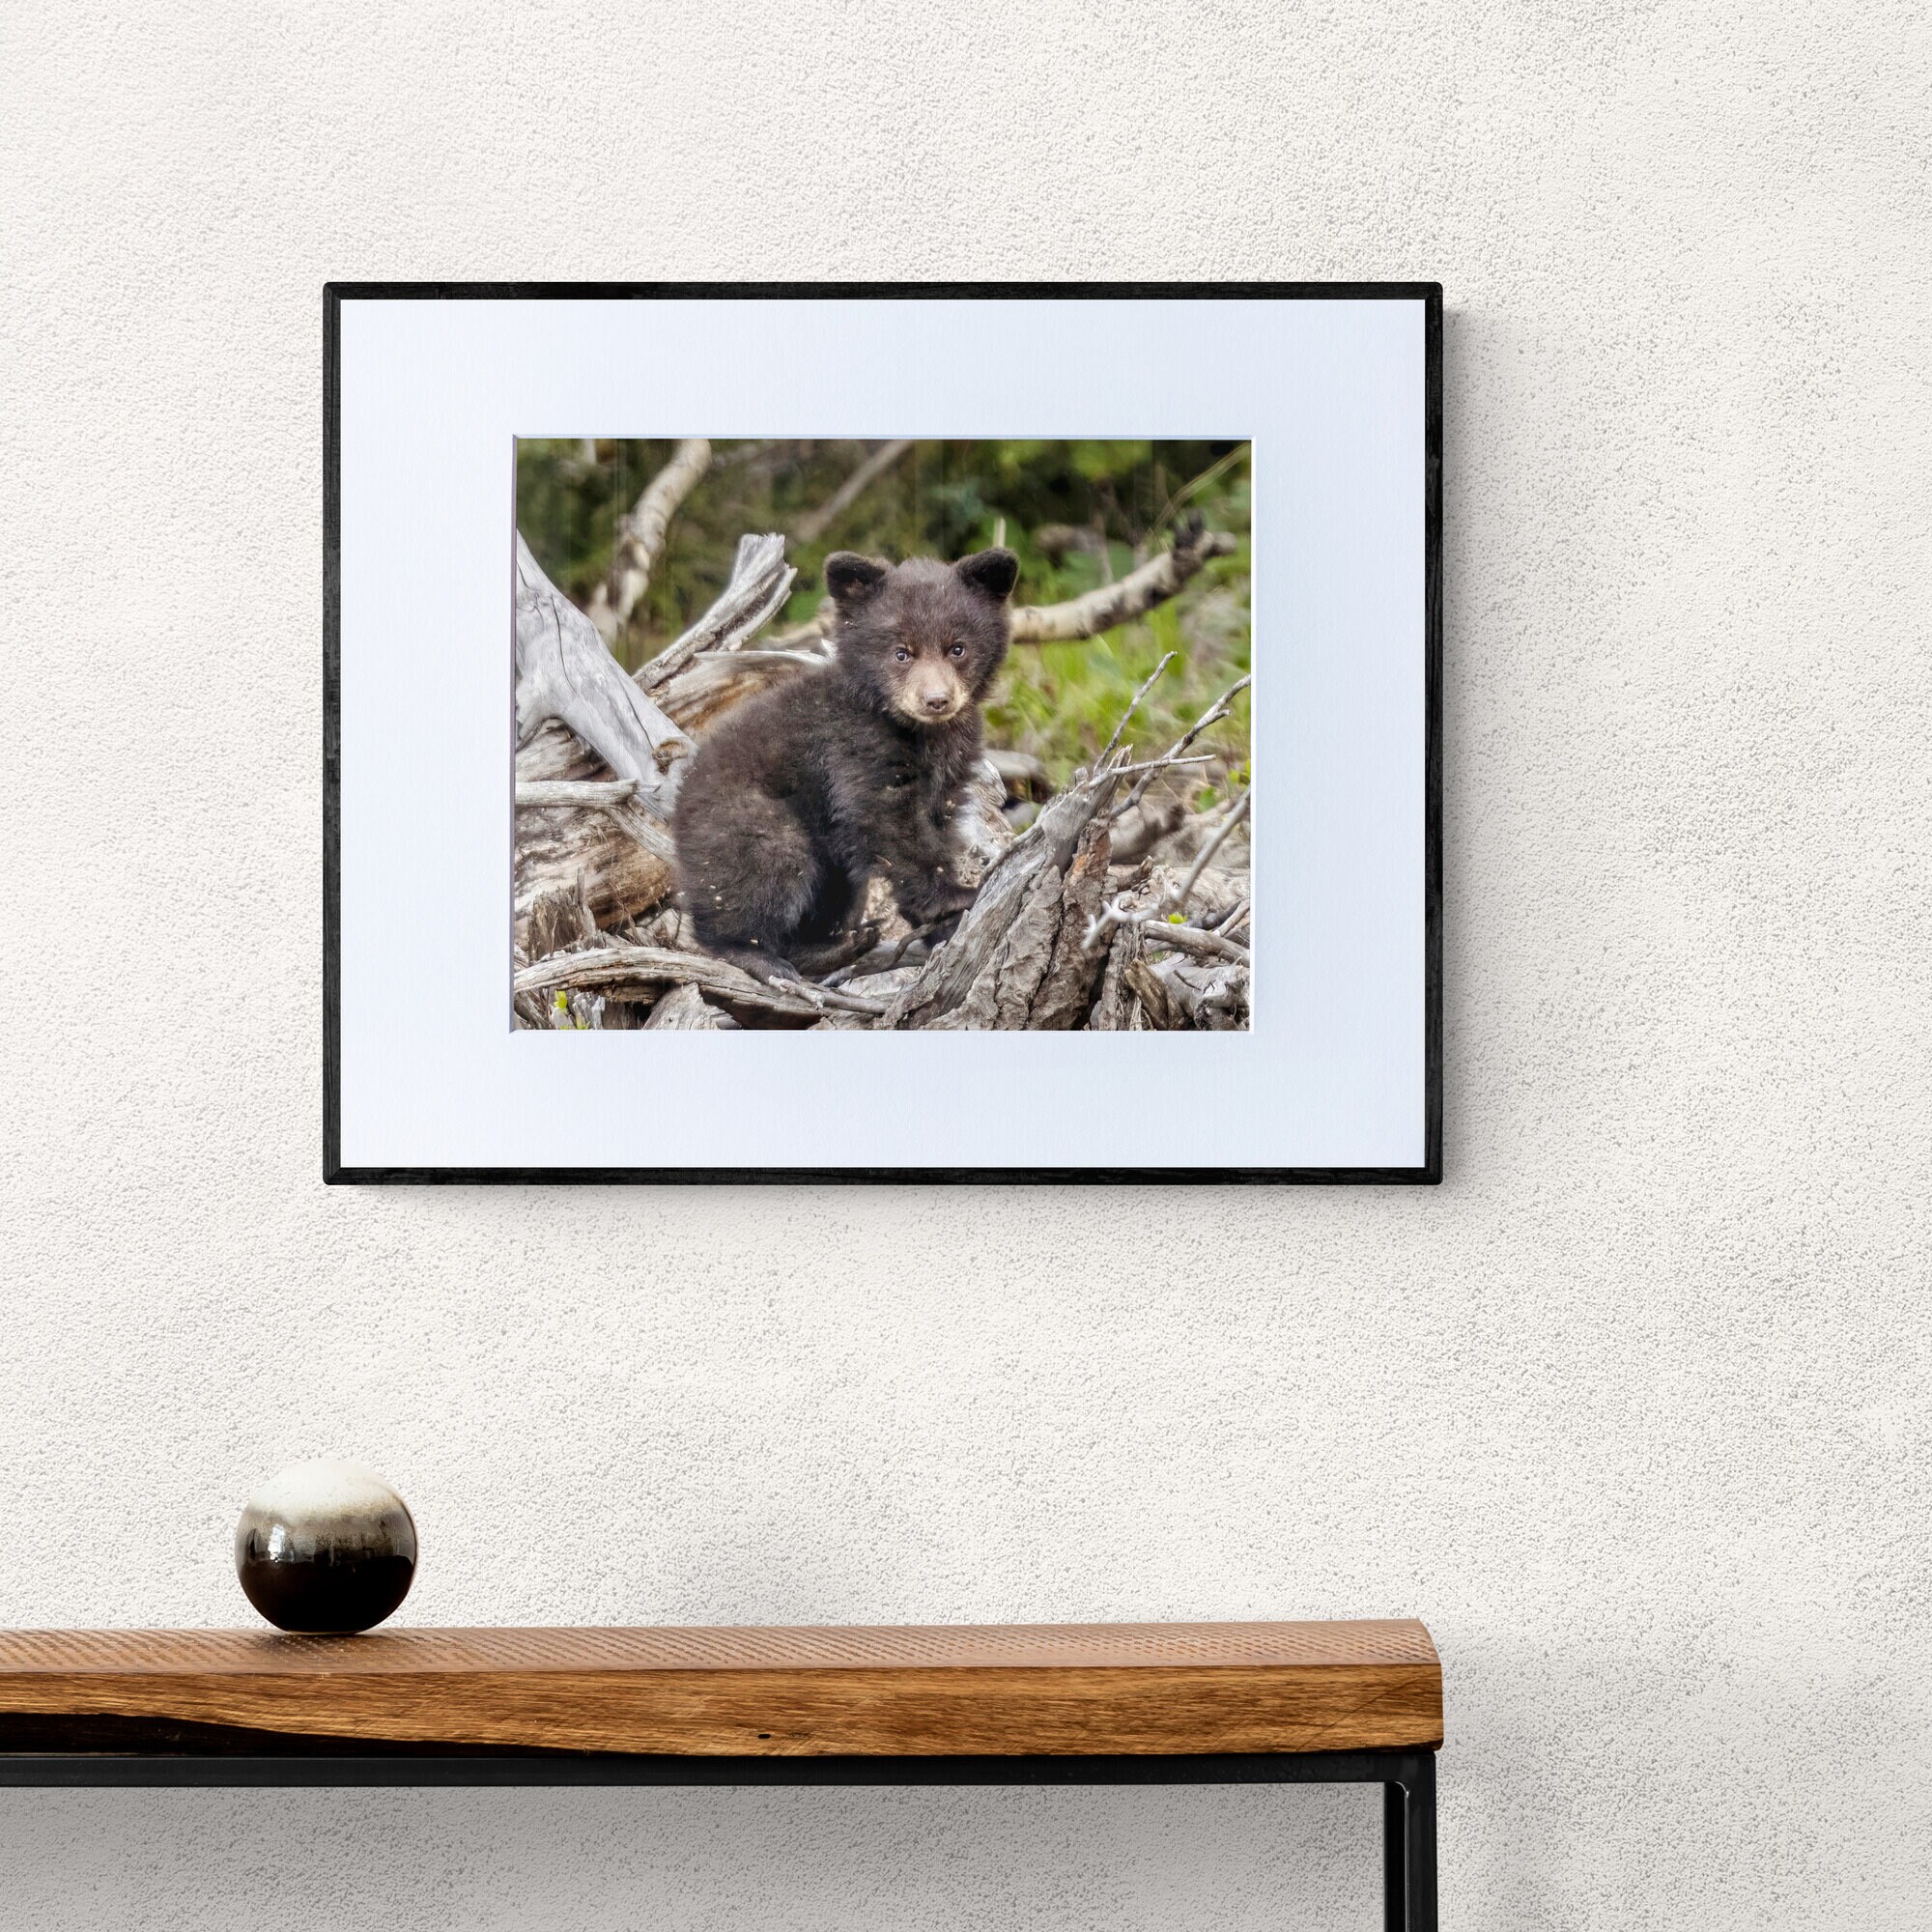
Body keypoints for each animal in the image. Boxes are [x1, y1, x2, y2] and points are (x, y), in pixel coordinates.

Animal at [670, 545, 1020, 982]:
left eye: (958, 647)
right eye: (901, 652)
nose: (937, 700)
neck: (917, 731)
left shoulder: (950, 770)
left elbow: (936, 821)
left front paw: (937, 922)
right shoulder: (853, 747)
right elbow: (889, 822)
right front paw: (953, 897)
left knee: (833, 891)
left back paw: (837, 946)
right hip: (745, 820)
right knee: (767, 869)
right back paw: (754, 953)